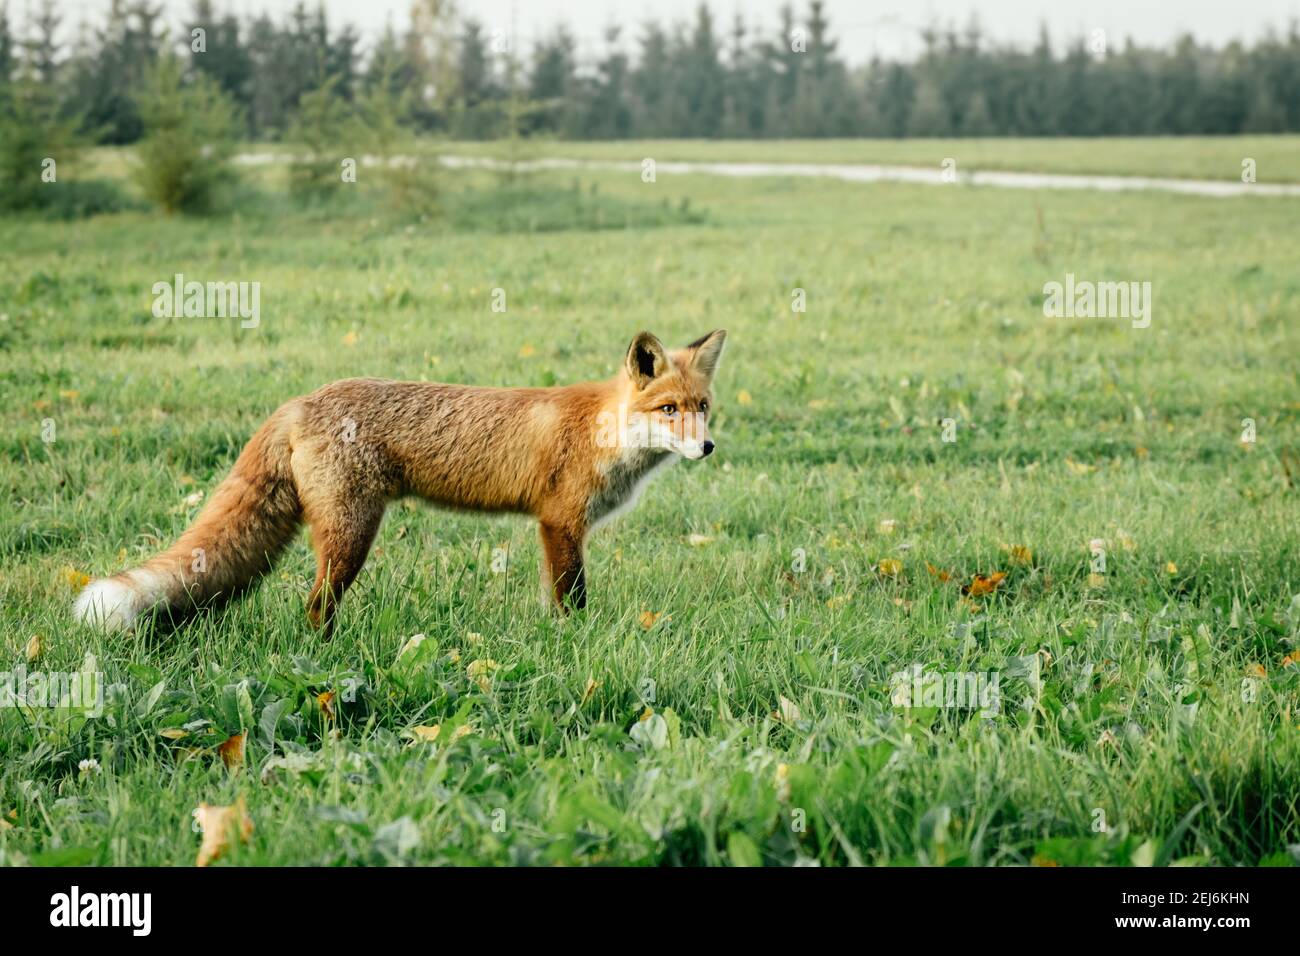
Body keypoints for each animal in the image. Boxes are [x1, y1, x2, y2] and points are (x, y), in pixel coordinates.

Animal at [74, 329, 726, 634]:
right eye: (668, 410)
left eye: (702, 407)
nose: (707, 446)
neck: (603, 432)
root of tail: (299, 401)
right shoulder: (560, 522)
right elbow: (573, 599)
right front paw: (575, 643)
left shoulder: (558, 526)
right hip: (351, 537)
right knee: (314, 607)